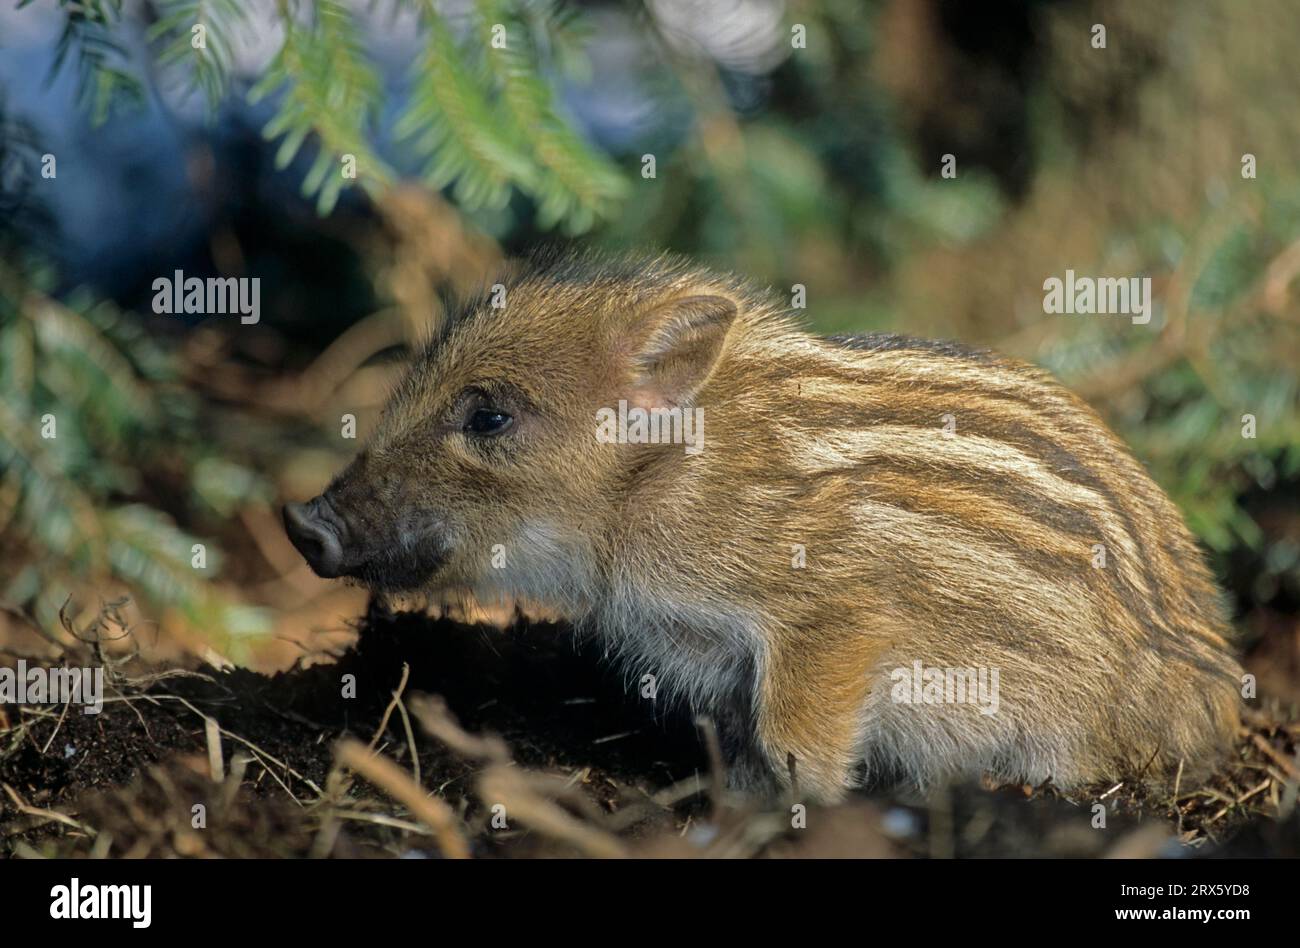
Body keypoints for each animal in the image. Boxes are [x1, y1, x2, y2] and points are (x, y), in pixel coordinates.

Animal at [284, 248, 1243, 803]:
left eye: (489, 417)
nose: (303, 521)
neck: (651, 492)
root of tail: (1226, 697)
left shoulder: (833, 619)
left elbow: (798, 747)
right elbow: (744, 751)